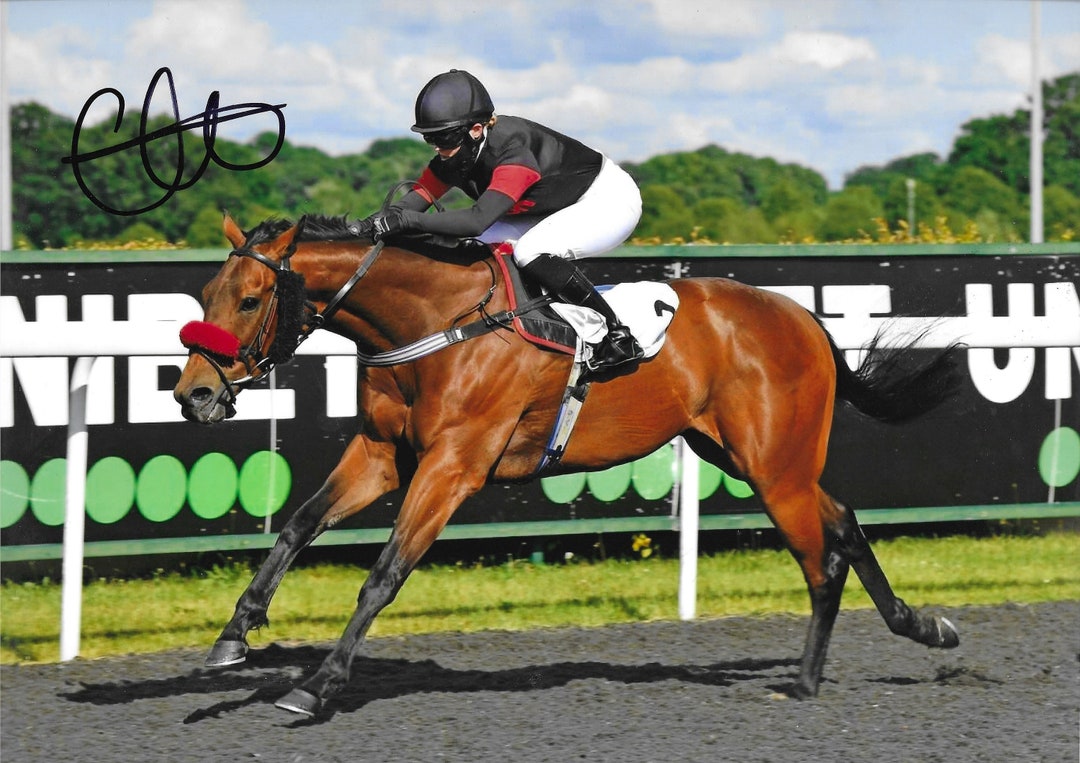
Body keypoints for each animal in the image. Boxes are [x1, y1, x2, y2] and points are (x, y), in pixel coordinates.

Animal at [173, 212, 961, 717]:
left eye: (250, 298)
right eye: (208, 295)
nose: (194, 394)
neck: (435, 322)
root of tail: (805, 319)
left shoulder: (453, 466)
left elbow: (384, 573)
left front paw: (318, 683)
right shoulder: (382, 454)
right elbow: (297, 526)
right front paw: (232, 636)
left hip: (773, 466)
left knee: (821, 559)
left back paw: (802, 681)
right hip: (748, 456)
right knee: (845, 521)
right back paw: (923, 627)